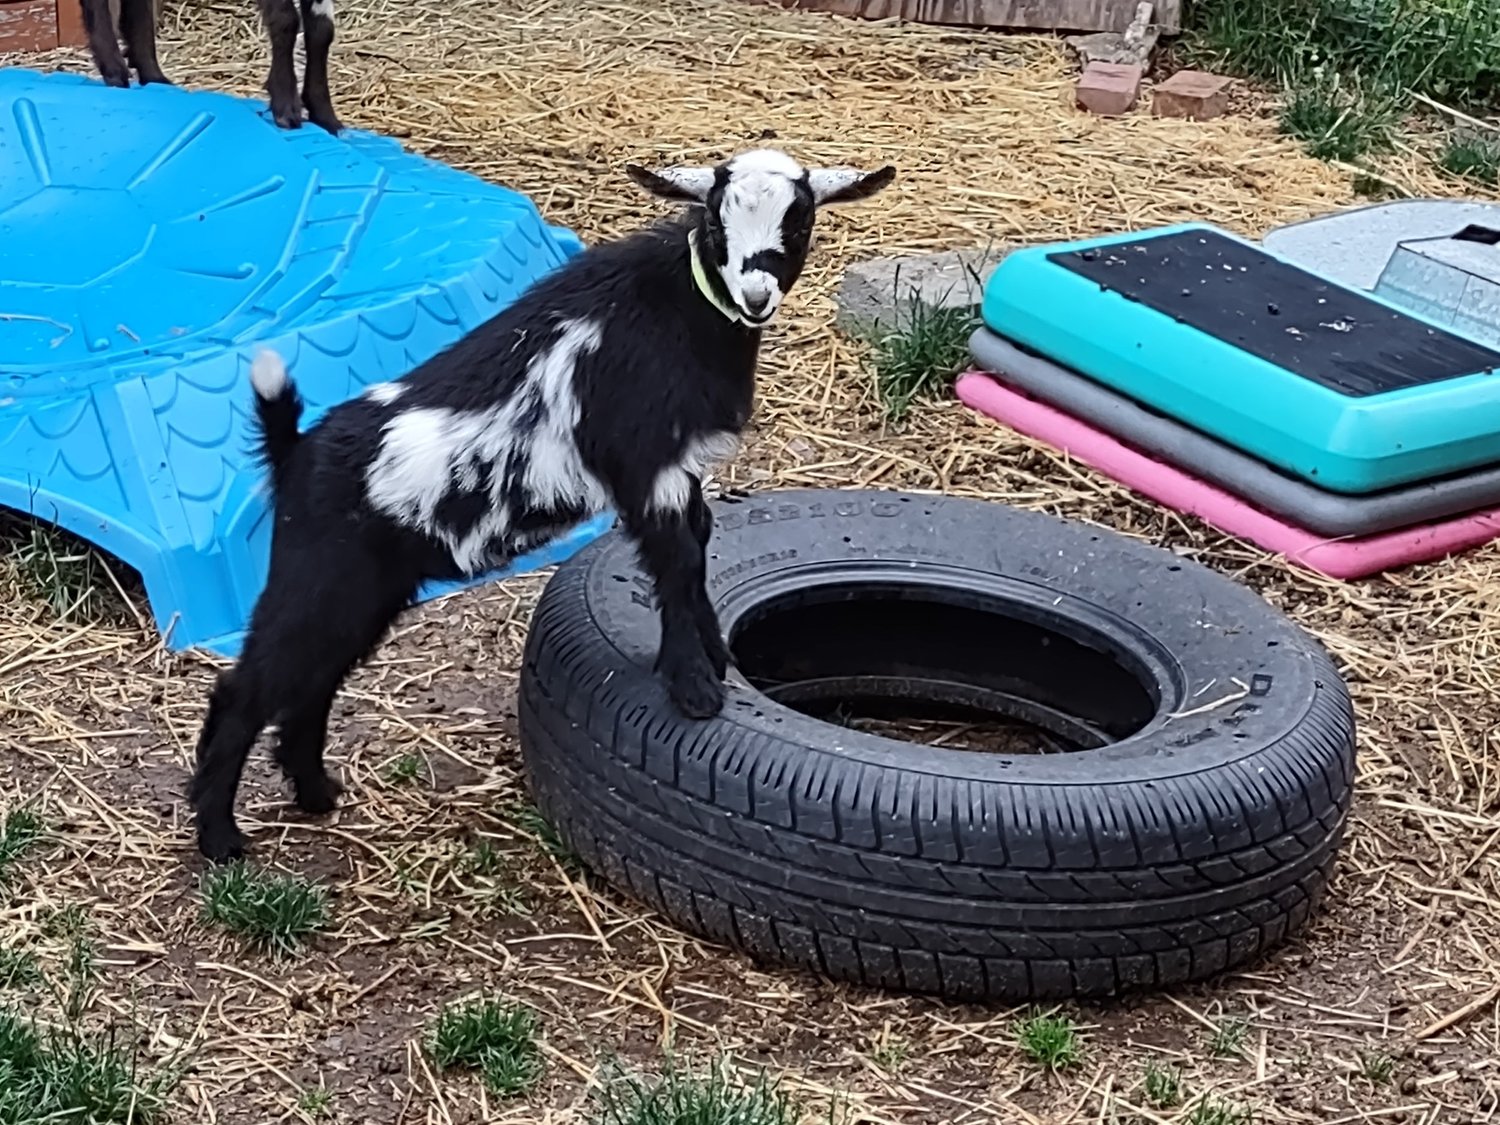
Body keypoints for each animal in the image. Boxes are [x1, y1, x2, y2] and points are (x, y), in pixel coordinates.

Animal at [79, 0, 341, 133]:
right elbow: (286, 18)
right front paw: (286, 108)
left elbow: (321, 27)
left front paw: (325, 117)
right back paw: (115, 71)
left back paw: (153, 76)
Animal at [186, 148, 896, 862]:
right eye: (718, 226)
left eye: (798, 222)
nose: (755, 298)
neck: (674, 311)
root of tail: (295, 452)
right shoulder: (645, 466)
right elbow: (675, 562)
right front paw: (694, 687)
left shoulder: (679, 472)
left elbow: (697, 547)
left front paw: (715, 658)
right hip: (317, 578)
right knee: (244, 691)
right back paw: (220, 838)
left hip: (361, 594)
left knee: (310, 685)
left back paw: (315, 794)